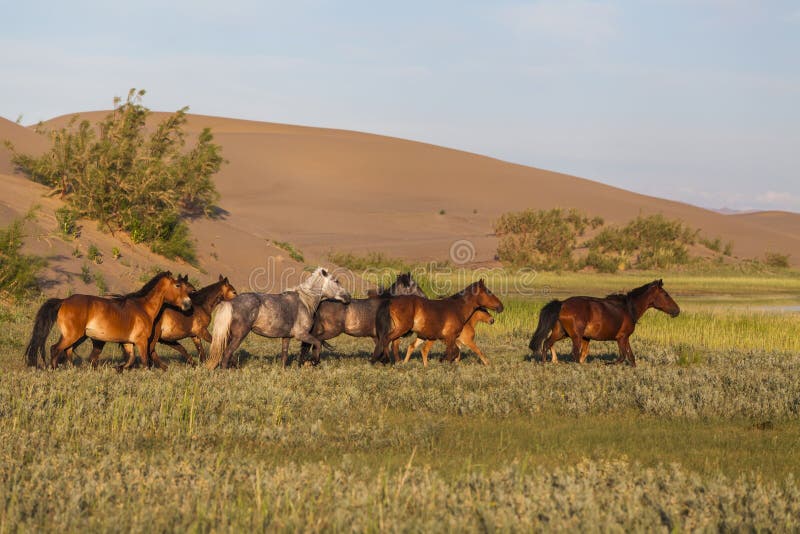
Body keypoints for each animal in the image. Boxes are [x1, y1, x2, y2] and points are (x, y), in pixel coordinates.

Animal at [24, 271, 193, 370]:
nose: (188, 304)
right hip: (72, 335)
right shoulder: (141, 341)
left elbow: (131, 359)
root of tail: (64, 301)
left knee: (68, 351)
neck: (143, 308)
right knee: (55, 349)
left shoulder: (128, 342)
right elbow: (145, 361)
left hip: (76, 336)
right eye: (178, 285)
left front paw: (119, 369)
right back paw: (53, 369)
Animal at [205, 267, 351, 369]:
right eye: (336, 281)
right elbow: (318, 344)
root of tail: (231, 302)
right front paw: (313, 361)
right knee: (226, 354)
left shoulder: (286, 337)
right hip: (239, 336)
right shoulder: (302, 335)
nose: (348, 297)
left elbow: (284, 356)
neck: (305, 302)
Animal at [298, 272, 426, 363]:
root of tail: (321, 303)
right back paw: (314, 361)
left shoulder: (378, 335)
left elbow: (385, 348)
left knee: (308, 343)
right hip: (332, 330)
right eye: (416, 286)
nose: (425, 297)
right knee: (316, 341)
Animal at [371, 279, 504, 364]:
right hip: (402, 328)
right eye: (489, 292)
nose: (501, 307)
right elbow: (453, 353)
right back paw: (387, 360)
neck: (457, 308)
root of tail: (391, 301)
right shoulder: (451, 337)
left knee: (393, 343)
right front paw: (443, 362)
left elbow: (454, 352)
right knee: (387, 340)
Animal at [528, 279, 680, 366]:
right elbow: (622, 357)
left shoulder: (625, 338)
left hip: (561, 332)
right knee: (574, 353)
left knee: (547, 343)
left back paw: (545, 363)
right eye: (666, 295)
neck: (629, 308)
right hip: (575, 336)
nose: (677, 310)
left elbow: (631, 358)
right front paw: (606, 363)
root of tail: (562, 304)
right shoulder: (621, 338)